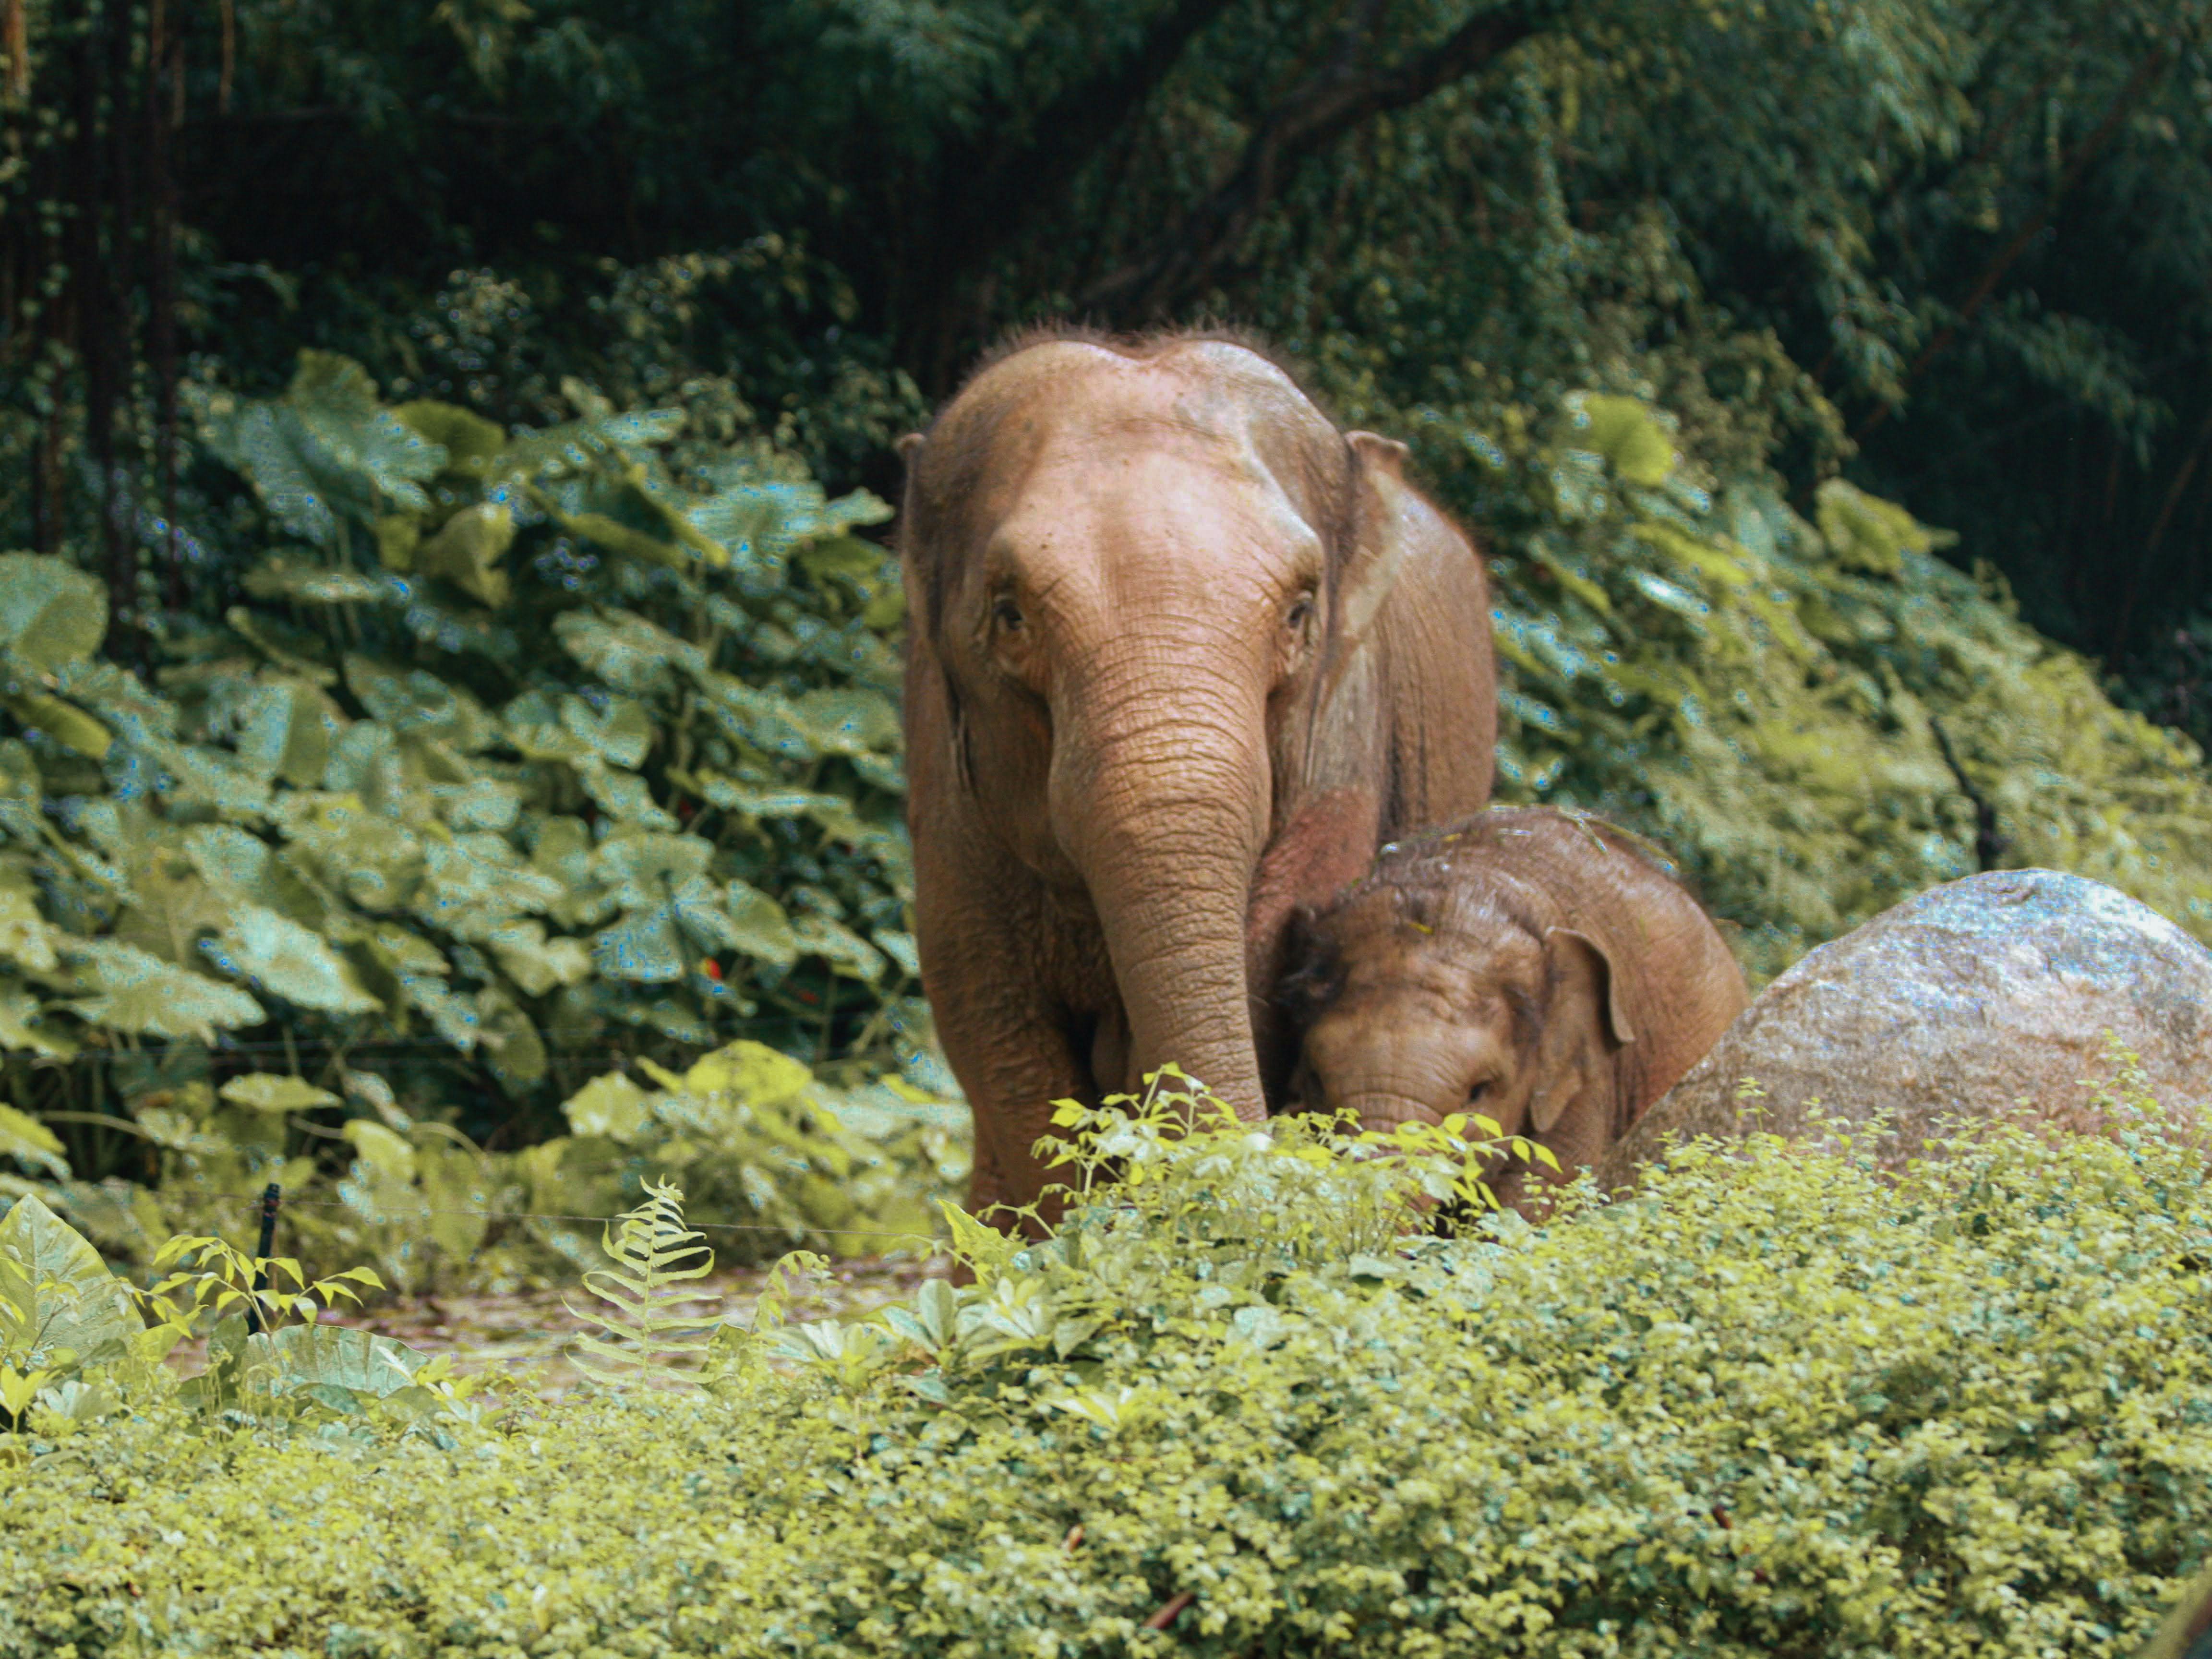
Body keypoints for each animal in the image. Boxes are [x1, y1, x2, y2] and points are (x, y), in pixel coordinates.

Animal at [898, 325, 1498, 1222]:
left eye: (1300, 612)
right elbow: (988, 1015)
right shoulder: (944, 776)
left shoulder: (1340, 745)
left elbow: (1255, 967)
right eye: (1009, 615)